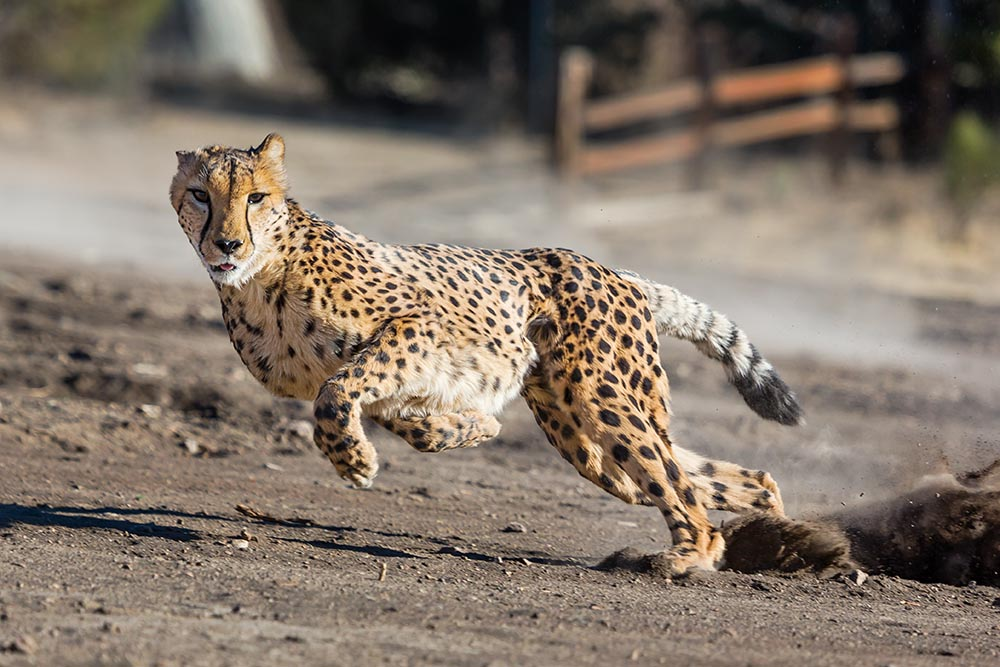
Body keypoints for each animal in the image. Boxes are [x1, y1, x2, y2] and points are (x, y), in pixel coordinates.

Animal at [168, 133, 800, 576]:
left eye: (255, 198)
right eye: (200, 195)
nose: (227, 243)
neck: (262, 274)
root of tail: (612, 271)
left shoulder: (417, 327)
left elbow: (335, 392)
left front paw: (354, 461)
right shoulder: (398, 383)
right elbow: (402, 418)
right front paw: (470, 428)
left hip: (601, 398)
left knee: (675, 482)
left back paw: (695, 554)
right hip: (584, 439)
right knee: (717, 475)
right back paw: (776, 537)